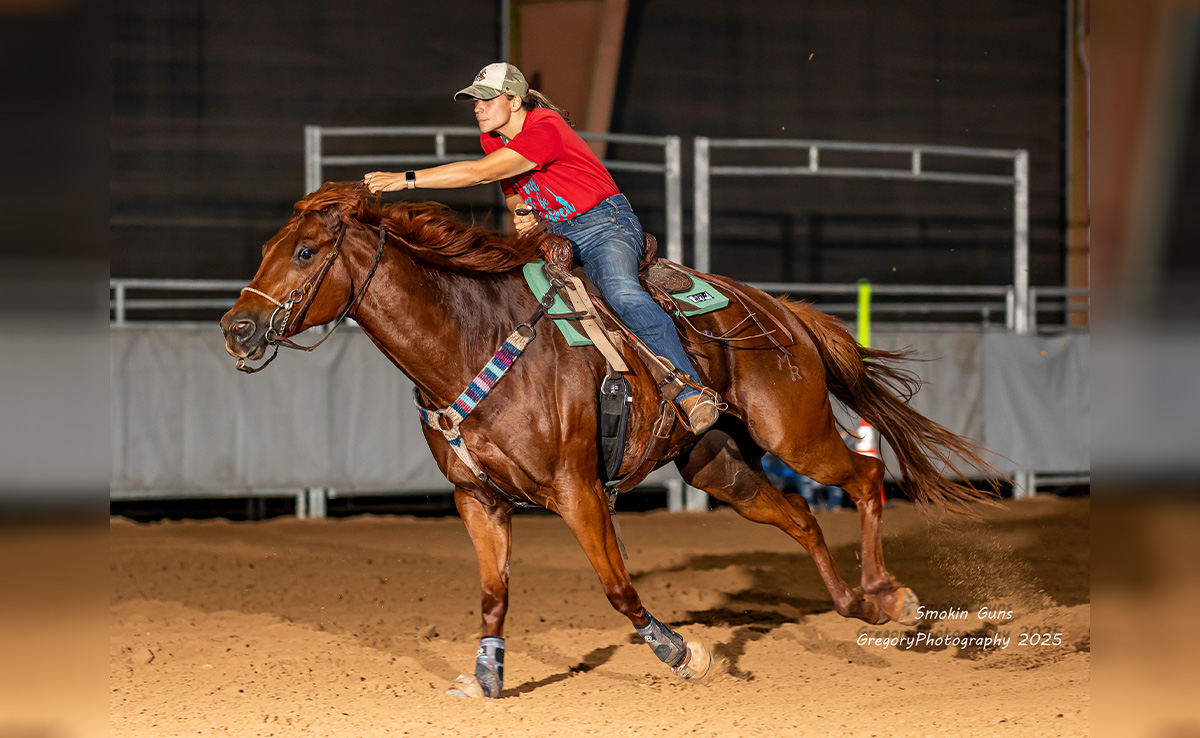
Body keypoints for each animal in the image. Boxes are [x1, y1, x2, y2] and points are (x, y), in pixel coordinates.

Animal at [220, 181, 998, 698]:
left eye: (306, 252)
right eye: (266, 249)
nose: (236, 329)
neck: (472, 341)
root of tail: (780, 310)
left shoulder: (579, 491)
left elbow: (619, 588)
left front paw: (682, 654)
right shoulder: (478, 498)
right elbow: (493, 592)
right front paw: (486, 677)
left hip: (795, 433)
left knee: (863, 479)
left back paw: (891, 596)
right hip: (718, 463)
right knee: (802, 515)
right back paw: (856, 605)